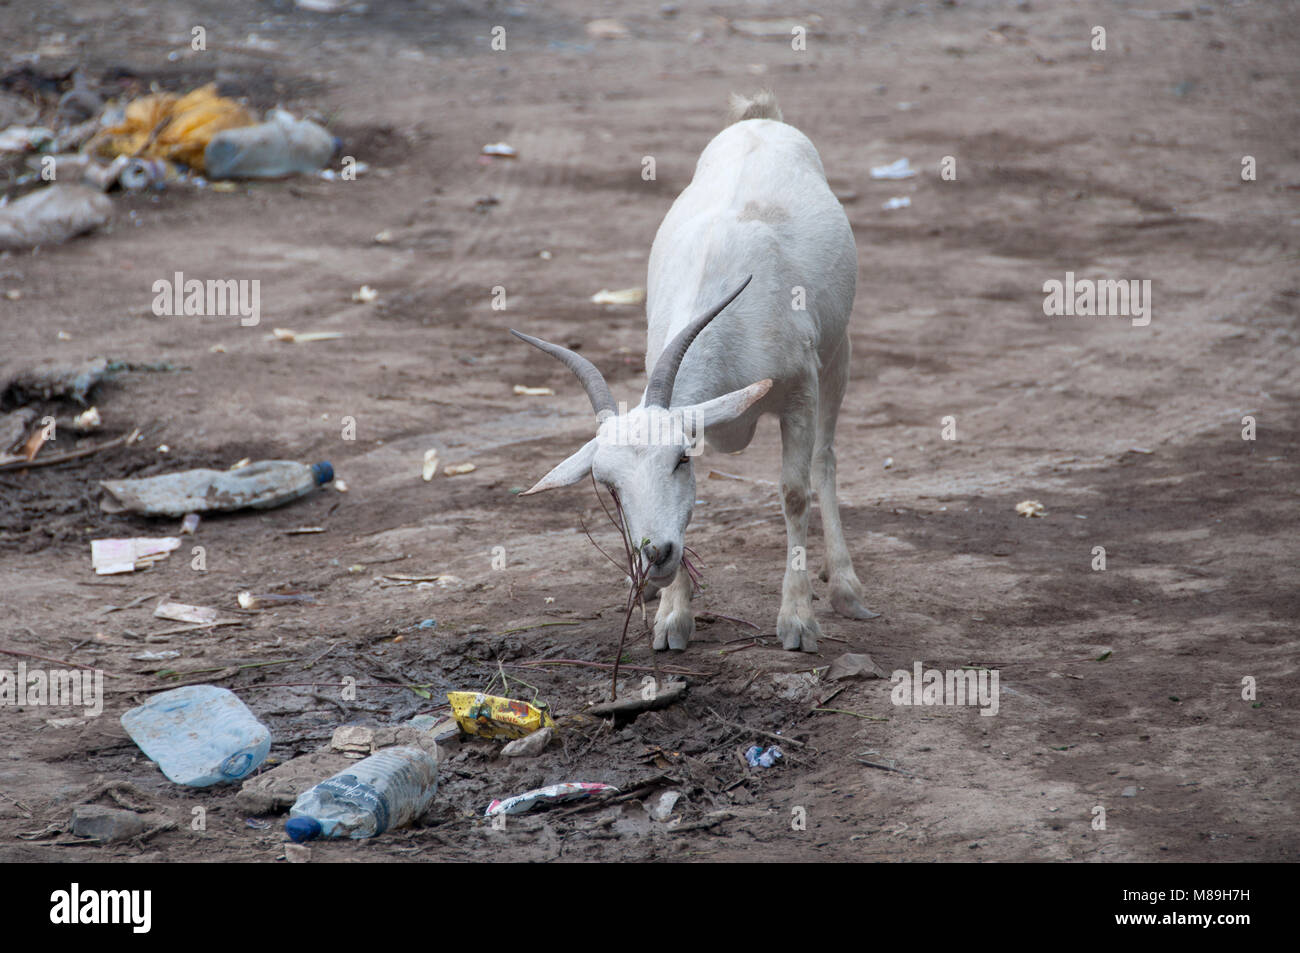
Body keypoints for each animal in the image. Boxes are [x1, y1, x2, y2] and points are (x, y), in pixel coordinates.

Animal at [510, 91, 876, 653]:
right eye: (608, 484)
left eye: (679, 459)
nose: (656, 553)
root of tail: (758, 120)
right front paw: (670, 619)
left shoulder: (800, 391)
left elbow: (794, 492)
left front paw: (797, 621)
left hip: (839, 353)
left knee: (826, 459)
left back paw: (846, 588)